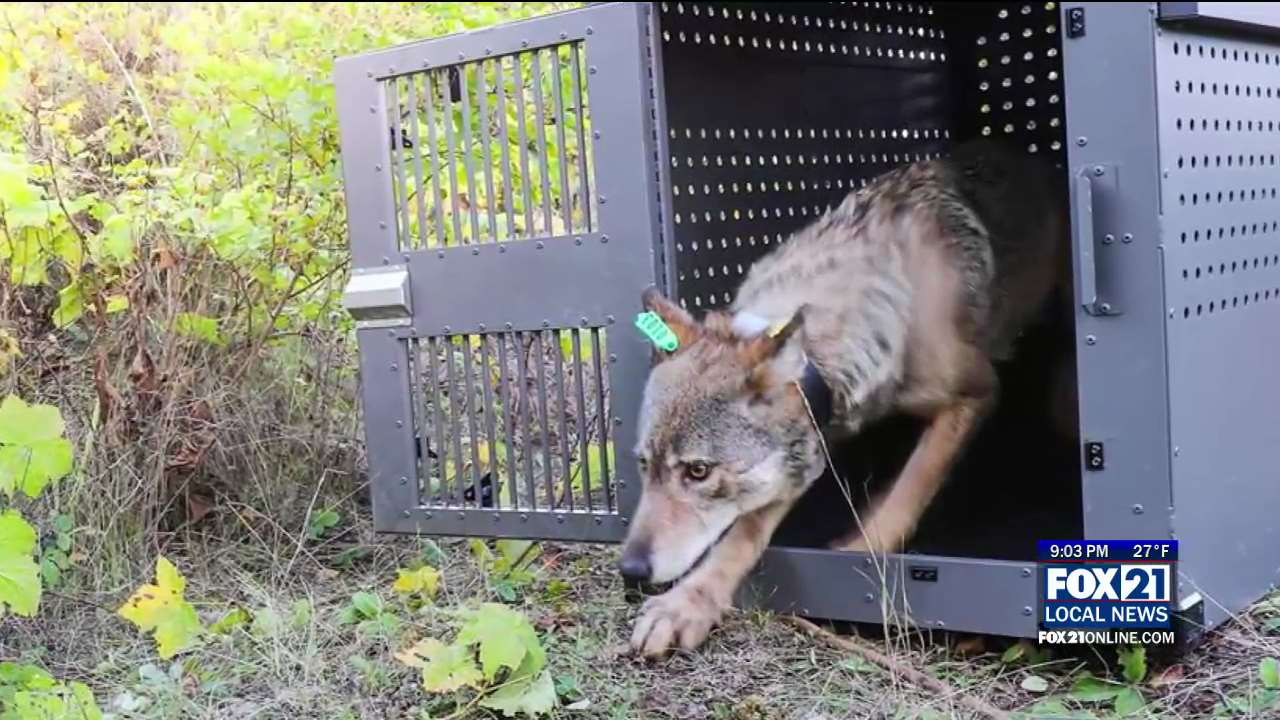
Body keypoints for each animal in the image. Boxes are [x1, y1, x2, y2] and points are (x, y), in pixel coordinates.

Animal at [620, 139, 1069, 658]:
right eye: (644, 465)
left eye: (697, 471)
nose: (629, 570)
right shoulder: (811, 441)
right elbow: (743, 533)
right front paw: (687, 603)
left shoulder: (975, 393)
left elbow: (911, 486)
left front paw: (860, 549)